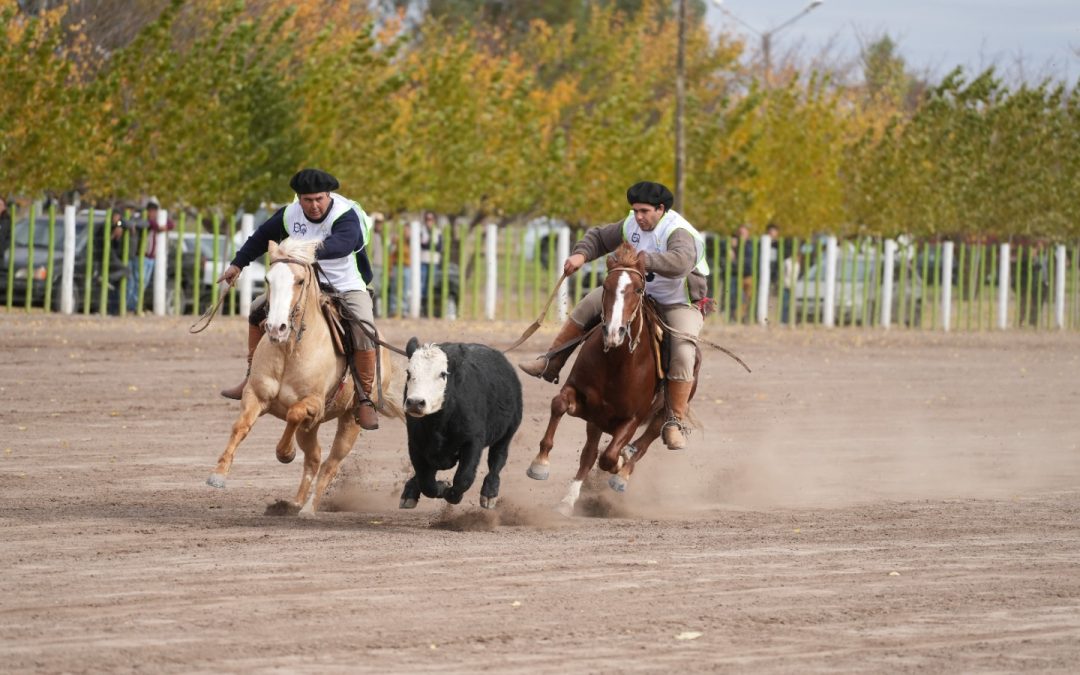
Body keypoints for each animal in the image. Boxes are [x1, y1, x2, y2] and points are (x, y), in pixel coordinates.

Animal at [204, 234, 403, 514]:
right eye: (268, 279)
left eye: (299, 280)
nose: (275, 327)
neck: (290, 349)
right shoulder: (255, 394)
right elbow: (240, 426)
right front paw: (218, 473)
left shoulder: (313, 404)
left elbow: (294, 413)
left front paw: (285, 453)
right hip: (312, 428)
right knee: (314, 457)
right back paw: (294, 503)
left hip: (350, 422)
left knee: (330, 463)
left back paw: (308, 508)